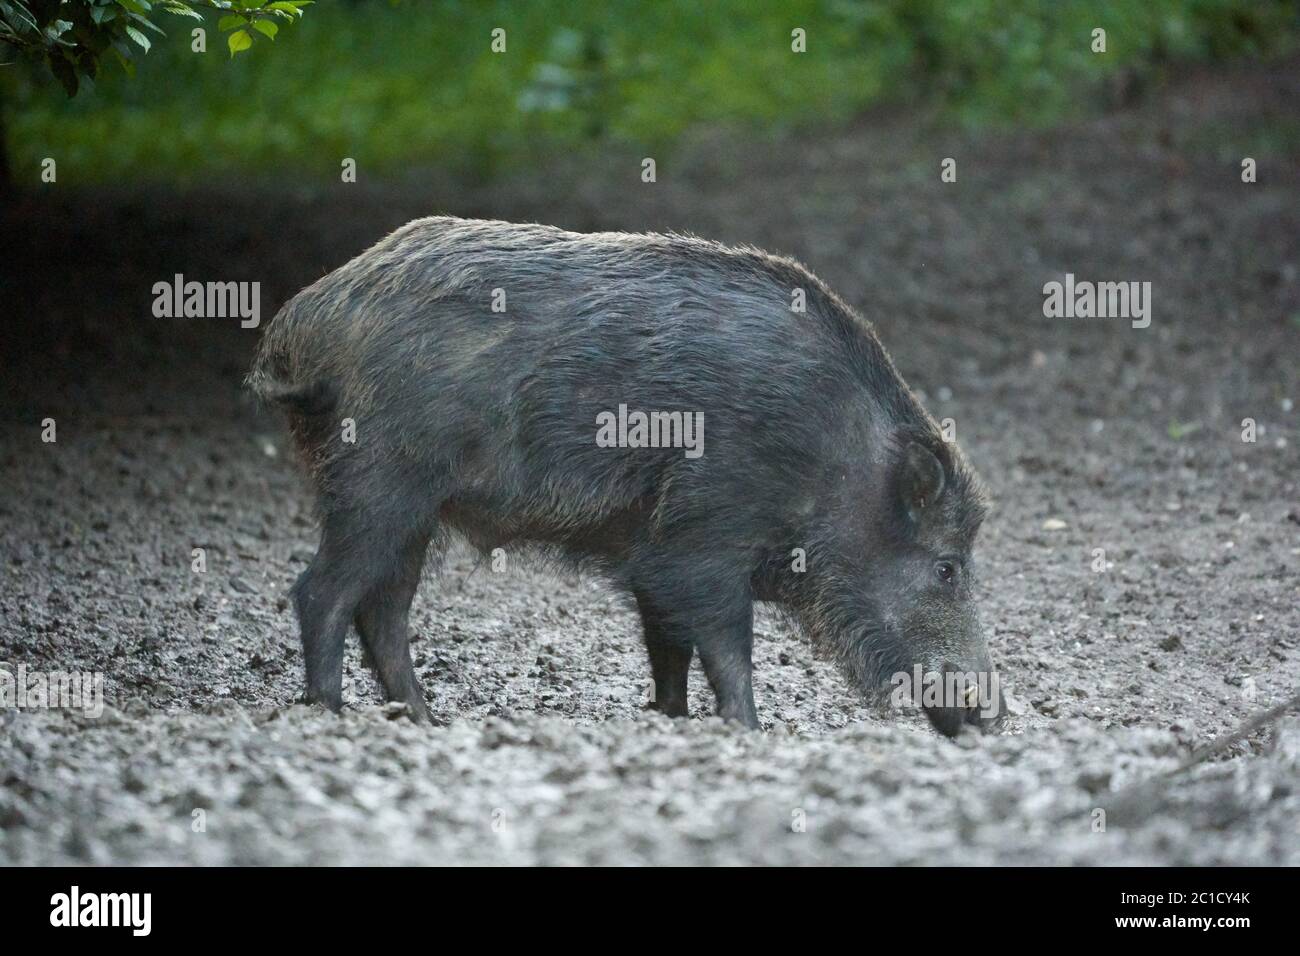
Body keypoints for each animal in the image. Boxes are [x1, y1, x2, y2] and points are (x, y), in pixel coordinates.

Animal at [248, 217, 1004, 736]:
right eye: (947, 568)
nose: (989, 714)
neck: (831, 462)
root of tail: (300, 327)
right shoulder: (704, 537)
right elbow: (727, 644)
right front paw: (749, 729)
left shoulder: (654, 557)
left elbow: (669, 646)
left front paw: (670, 718)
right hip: (379, 484)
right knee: (322, 592)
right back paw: (330, 711)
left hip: (413, 512)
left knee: (384, 608)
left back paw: (424, 718)